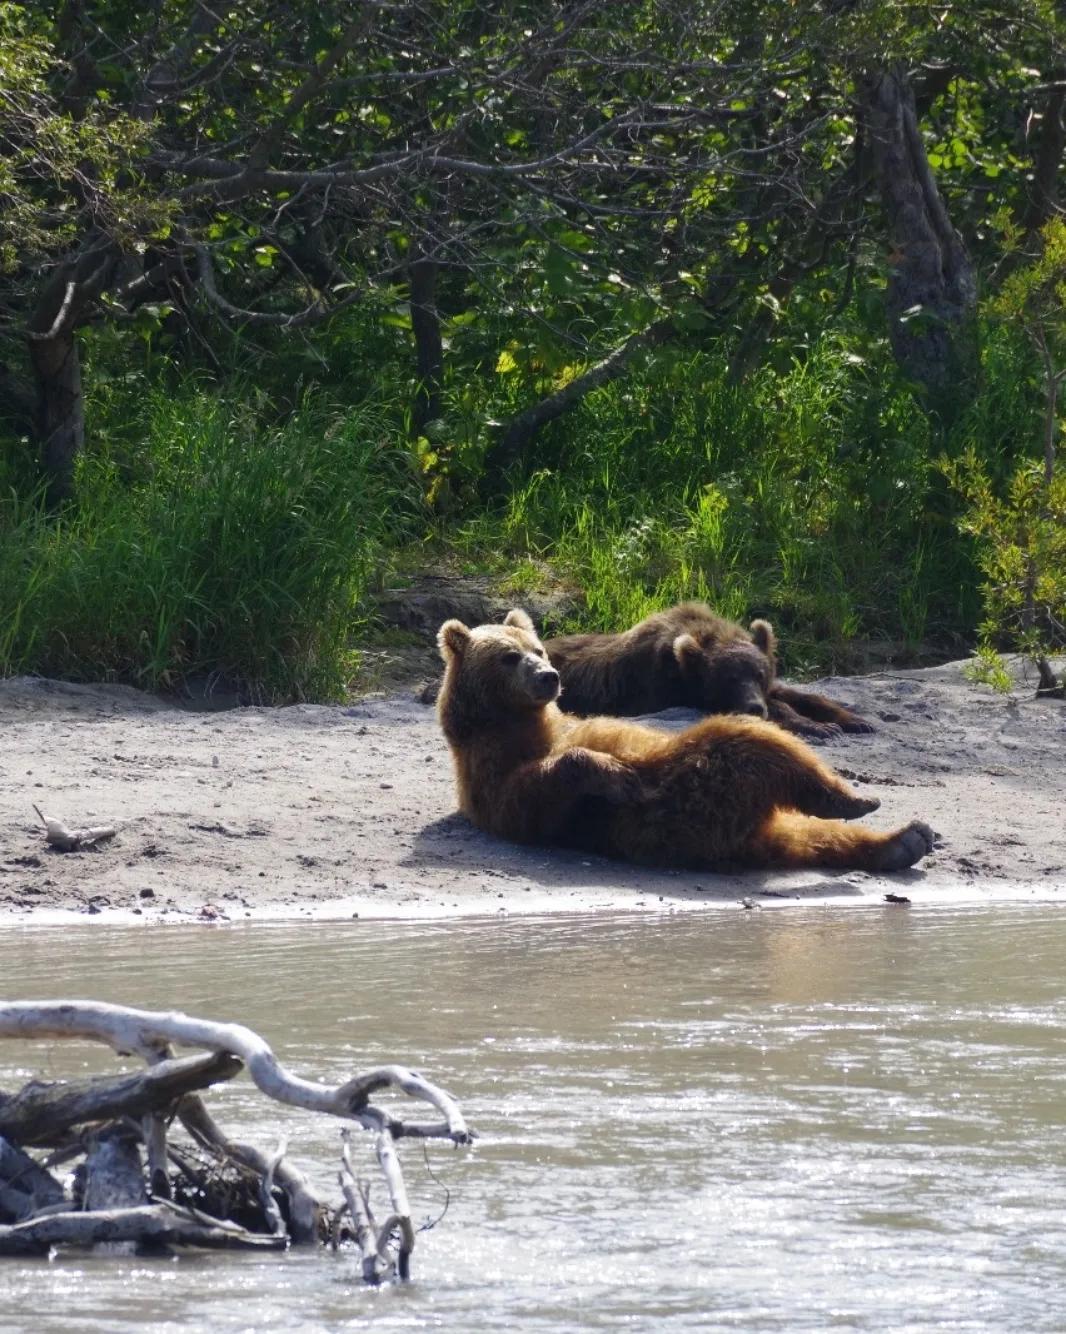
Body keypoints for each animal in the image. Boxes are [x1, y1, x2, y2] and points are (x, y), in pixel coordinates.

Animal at [541, 605, 875, 741]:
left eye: (759, 673)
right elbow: (780, 704)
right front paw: (819, 727)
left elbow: (798, 695)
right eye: (728, 679)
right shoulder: (665, 690)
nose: (754, 707)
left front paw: (854, 720)